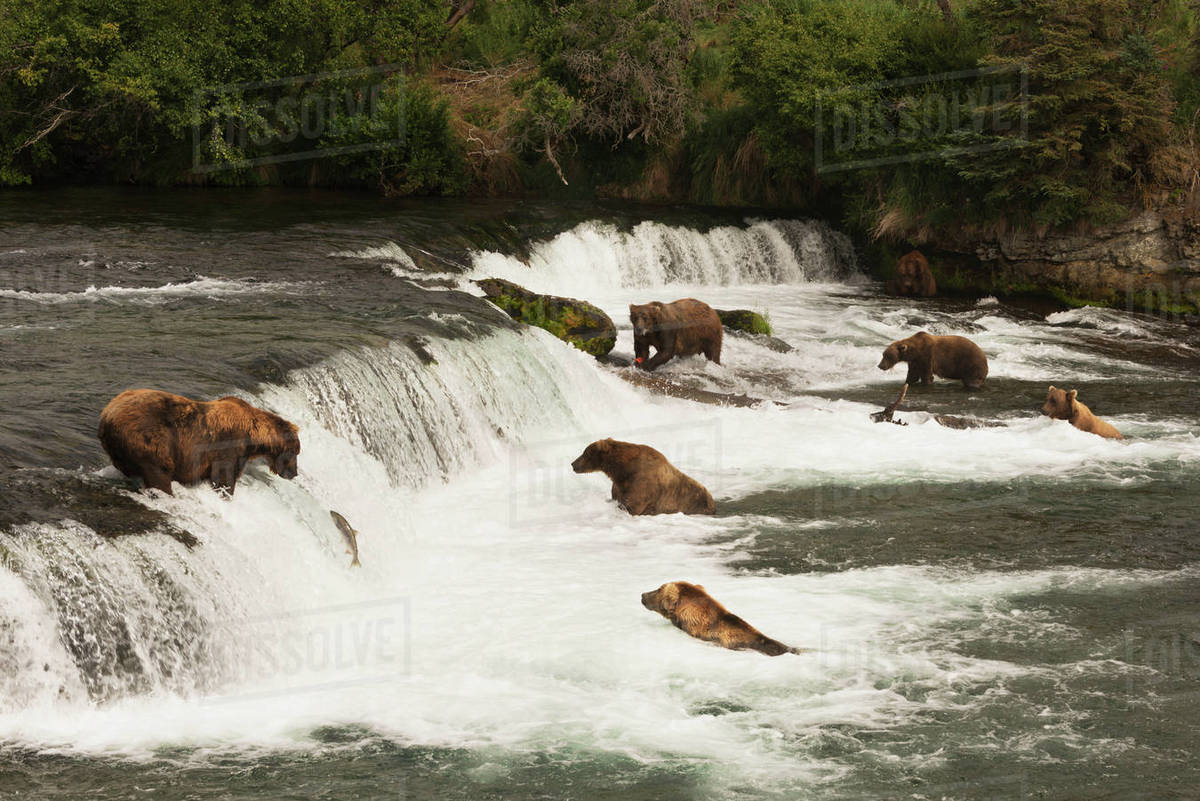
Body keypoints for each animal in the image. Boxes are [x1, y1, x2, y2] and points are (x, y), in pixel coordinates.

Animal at [98, 389, 300, 495]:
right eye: (295, 452)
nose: (294, 473)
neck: (252, 436)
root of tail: (106, 415)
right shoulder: (228, 446)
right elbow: (224, 478)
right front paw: (225, 492)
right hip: (150, 438)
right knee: (158, 472)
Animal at [570, 438, 715, 515]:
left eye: (585, 453)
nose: (573, 464)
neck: (622, 470)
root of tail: (712, 502)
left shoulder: (641, 483)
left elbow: (632, 505)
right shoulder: (620, 485)